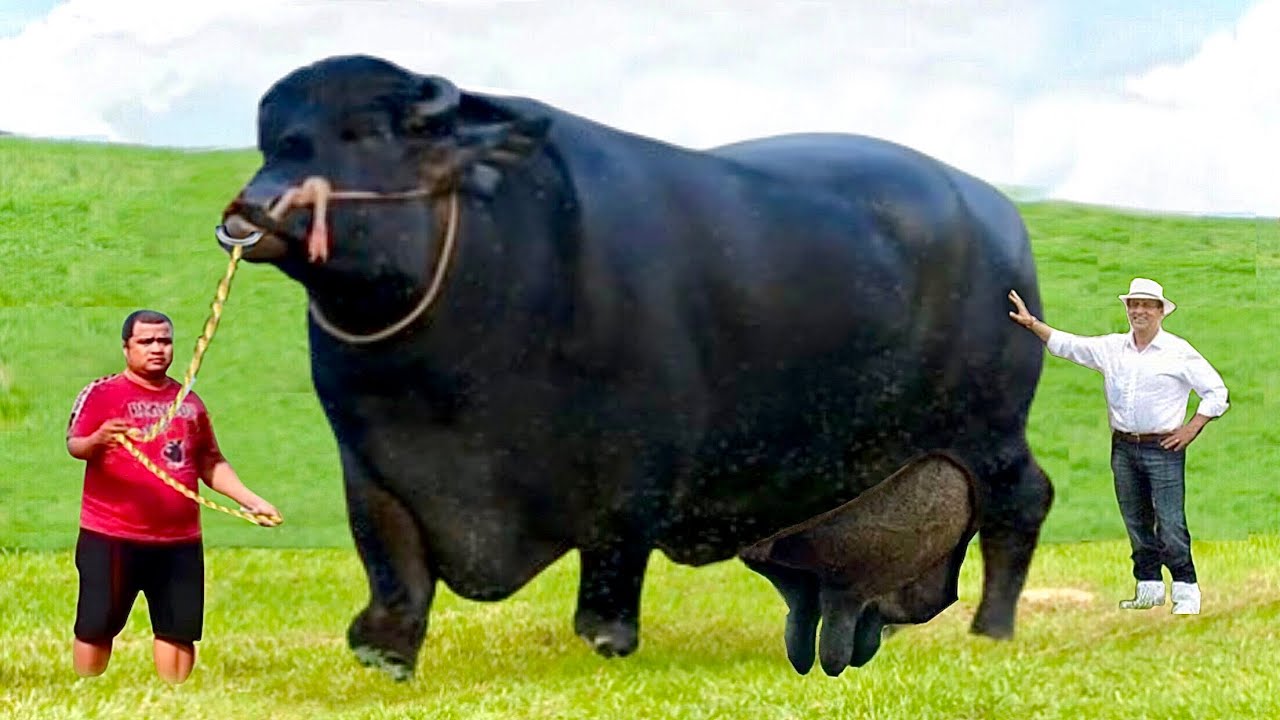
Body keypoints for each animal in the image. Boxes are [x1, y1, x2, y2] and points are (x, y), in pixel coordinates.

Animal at [218, 55, 1052, 680]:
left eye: (364, 133)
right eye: (272, 139)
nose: (254, 211)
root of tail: (996, 213)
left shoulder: (631, 462)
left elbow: (610, 568)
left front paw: (608, 644)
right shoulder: (372, 465)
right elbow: (391, 563)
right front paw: (384, 653)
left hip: (990, 430)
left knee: (1023, 503)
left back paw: (991, 631)